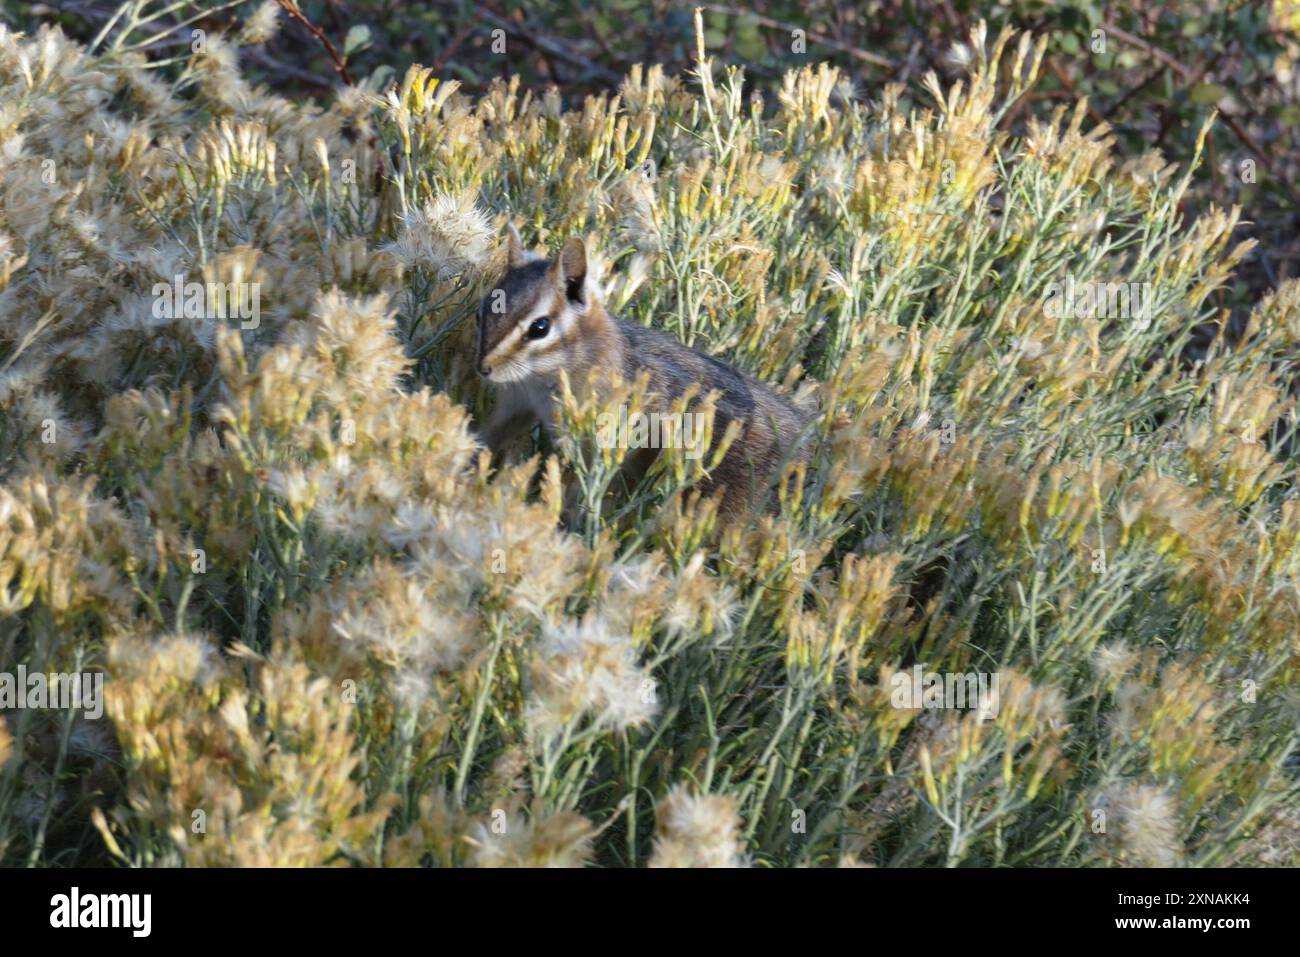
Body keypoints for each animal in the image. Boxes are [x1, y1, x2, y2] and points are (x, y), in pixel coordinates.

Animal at [476, 224, 811, 521]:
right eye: (484, 308)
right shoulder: (517, 404)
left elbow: (587, 489)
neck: (542, 378)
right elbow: (490, 435)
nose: (483, 368)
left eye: (540, 327)